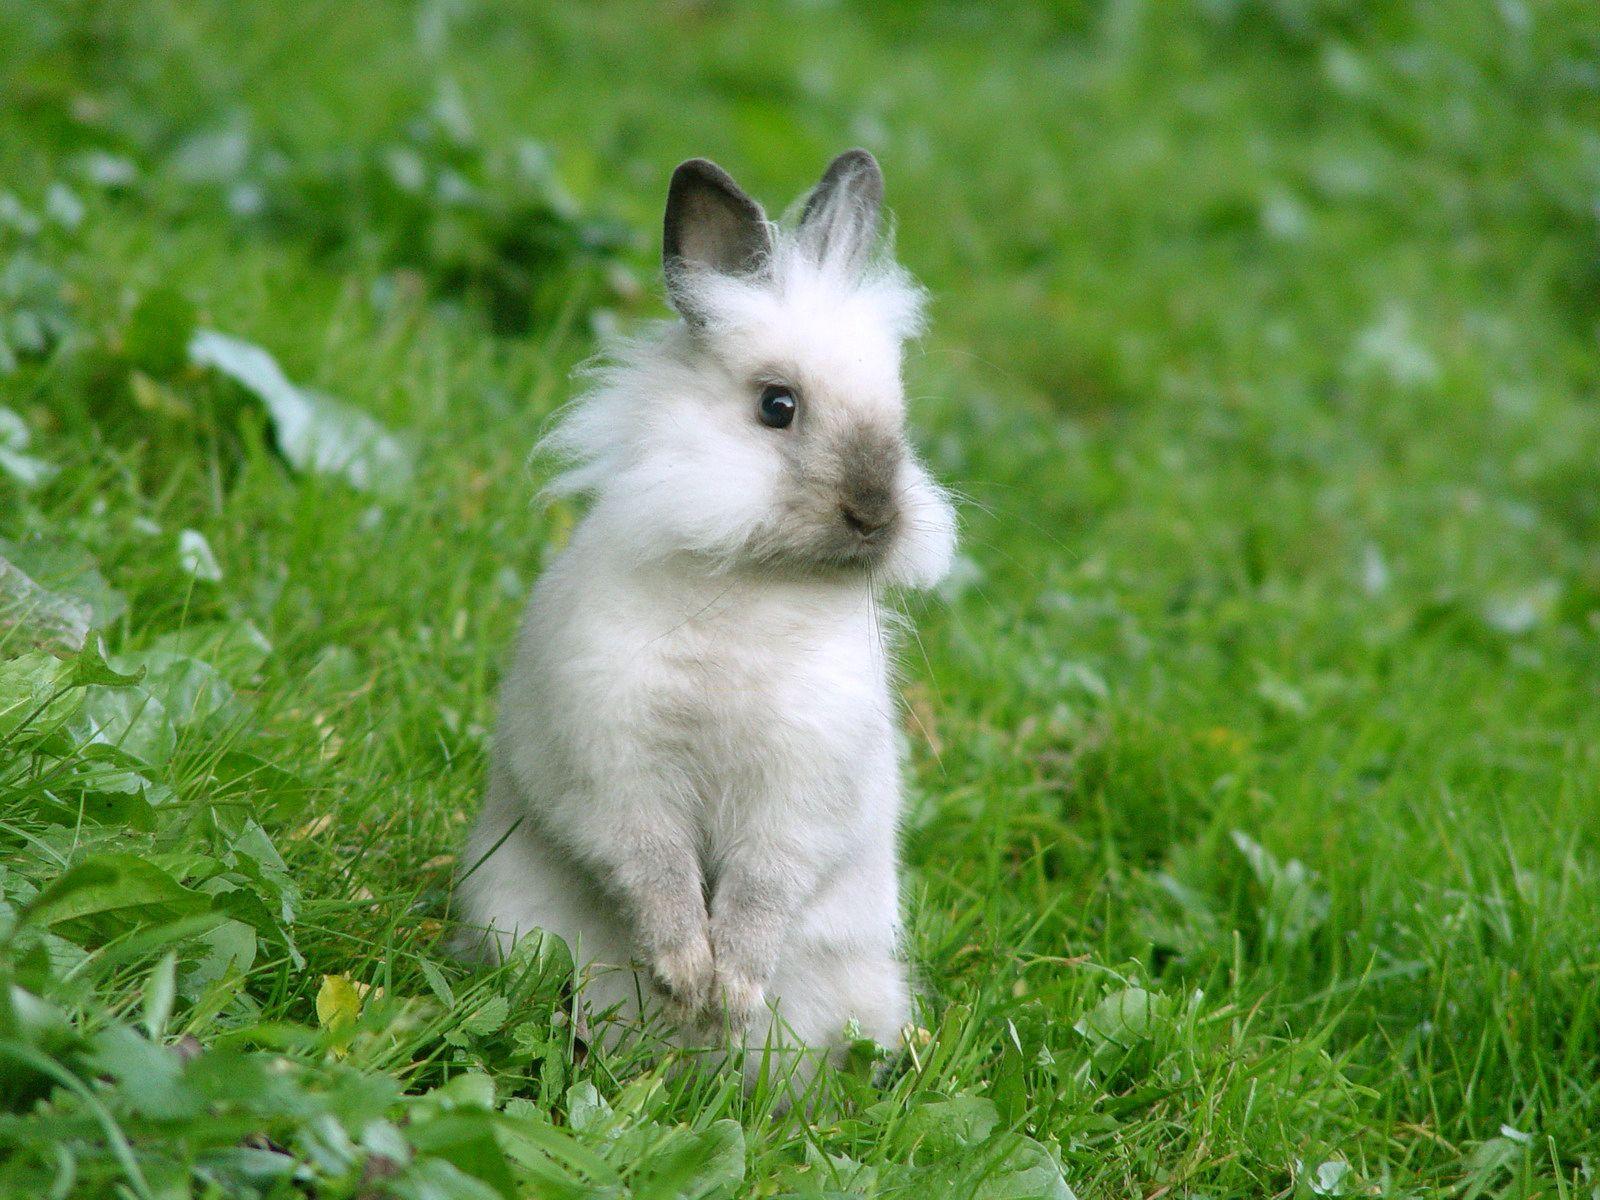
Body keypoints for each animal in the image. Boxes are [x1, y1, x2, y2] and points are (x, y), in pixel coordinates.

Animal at [457, 149, 956, 1085]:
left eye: (899, 413)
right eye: (777, 406)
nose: (876, 514)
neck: (751, 586)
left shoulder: (798, 790)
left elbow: (764, 890)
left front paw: (730, 994)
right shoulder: (616, 765)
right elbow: (654, 869)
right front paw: (690, 976)